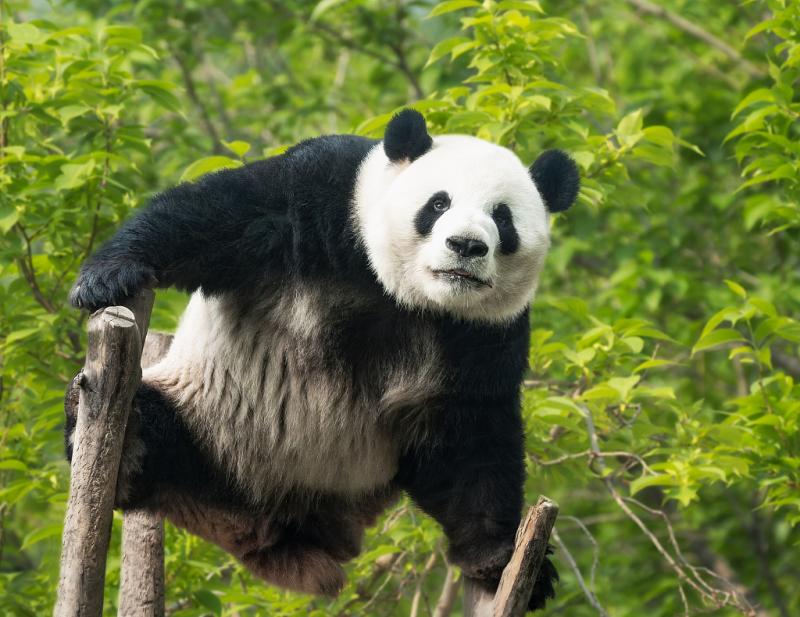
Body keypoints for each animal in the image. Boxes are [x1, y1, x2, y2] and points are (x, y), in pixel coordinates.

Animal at [67, 109, 578, 611]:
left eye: (502, 218)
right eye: (438, 204)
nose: (467, 246)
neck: (408, 296)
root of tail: (267, 527)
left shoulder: (486, 331)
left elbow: (471, 439)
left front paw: (497, 560)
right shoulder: (325, 198)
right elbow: (216, 213)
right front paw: (107, 275)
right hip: (208, 425)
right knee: (150, 432)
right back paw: (126, 443)